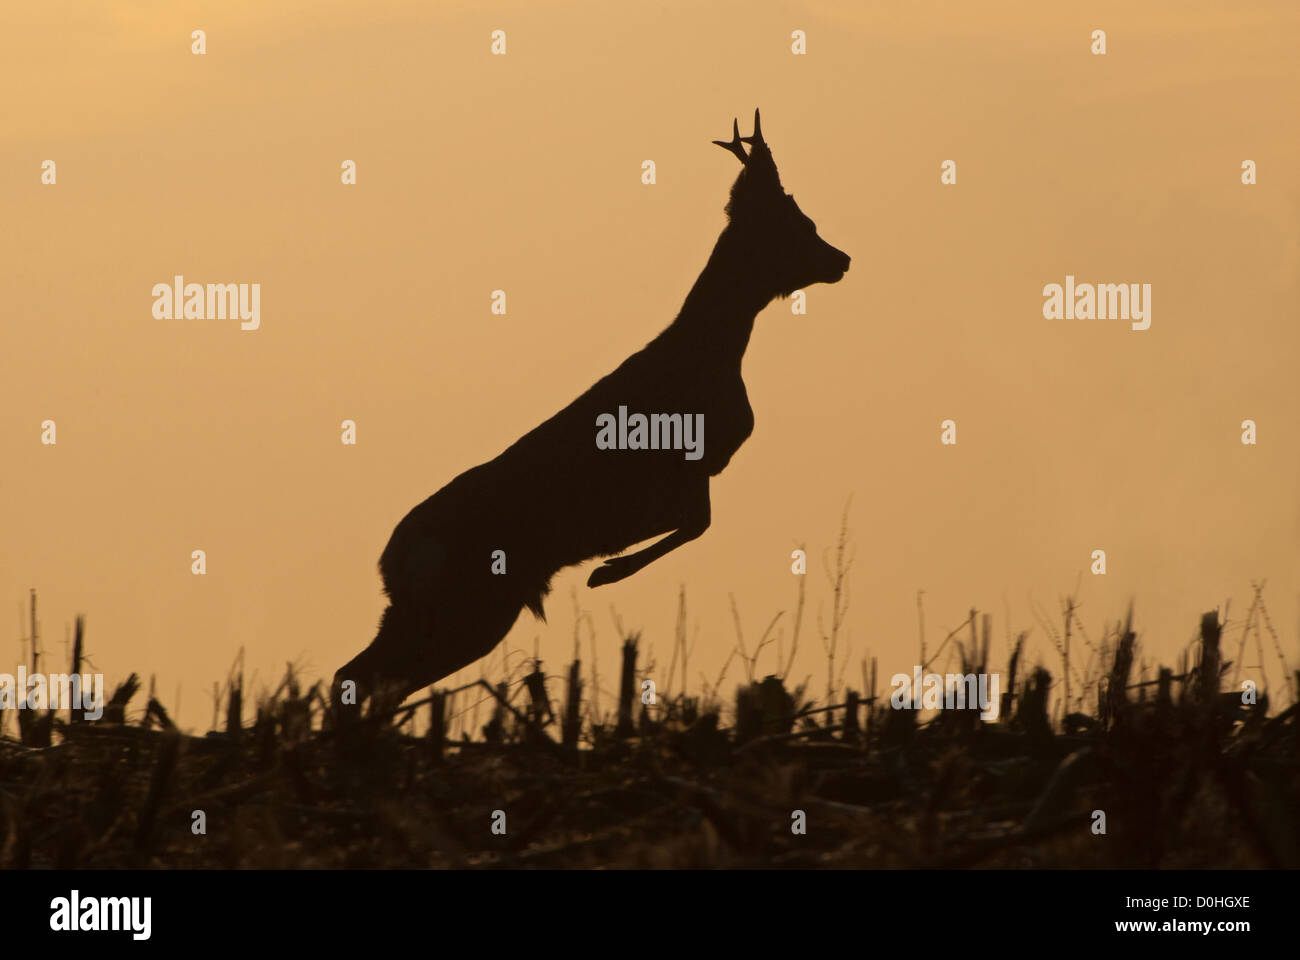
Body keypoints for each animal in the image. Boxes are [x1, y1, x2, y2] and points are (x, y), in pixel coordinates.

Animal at [333, 109, 850, 716]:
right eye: (799, 223)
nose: (842, 259)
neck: (707, 356)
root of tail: (390, 559)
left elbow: (696, 523)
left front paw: (607, 569)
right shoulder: (681, 468)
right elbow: (697, 523)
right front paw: (607, 570)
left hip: (461, 609)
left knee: (367, 678)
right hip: (466, 601)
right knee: (361, 675)